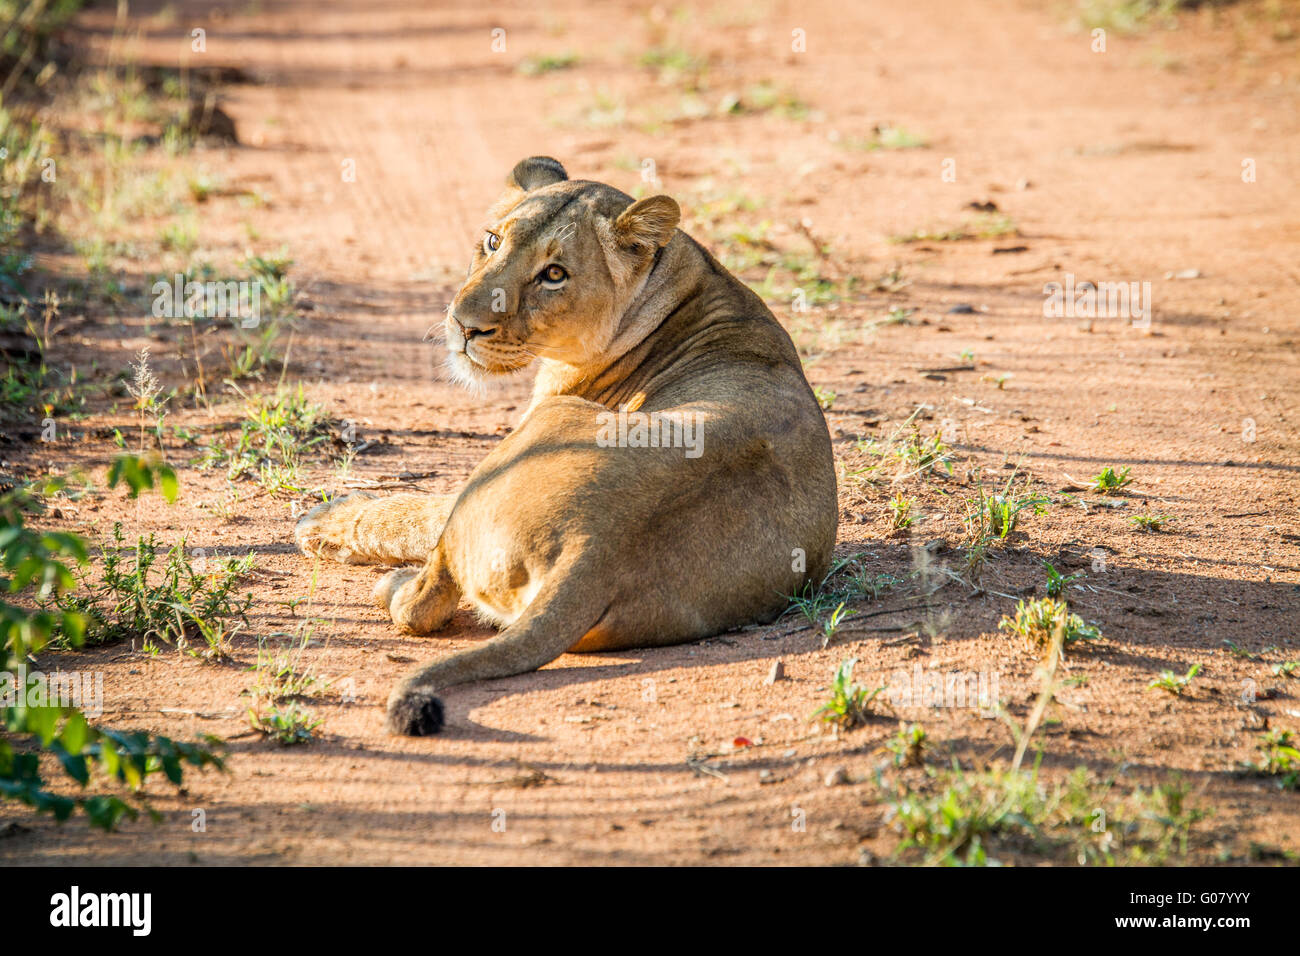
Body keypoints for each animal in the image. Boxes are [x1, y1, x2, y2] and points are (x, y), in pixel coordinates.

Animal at [295, 156, 838, 735]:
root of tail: (594, 549)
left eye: (554, 275)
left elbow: (411, 513)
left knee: (422, 603)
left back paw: (391, 585)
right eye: (493, 241)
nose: (463, 325)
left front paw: (322, 519)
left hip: (547, 427)